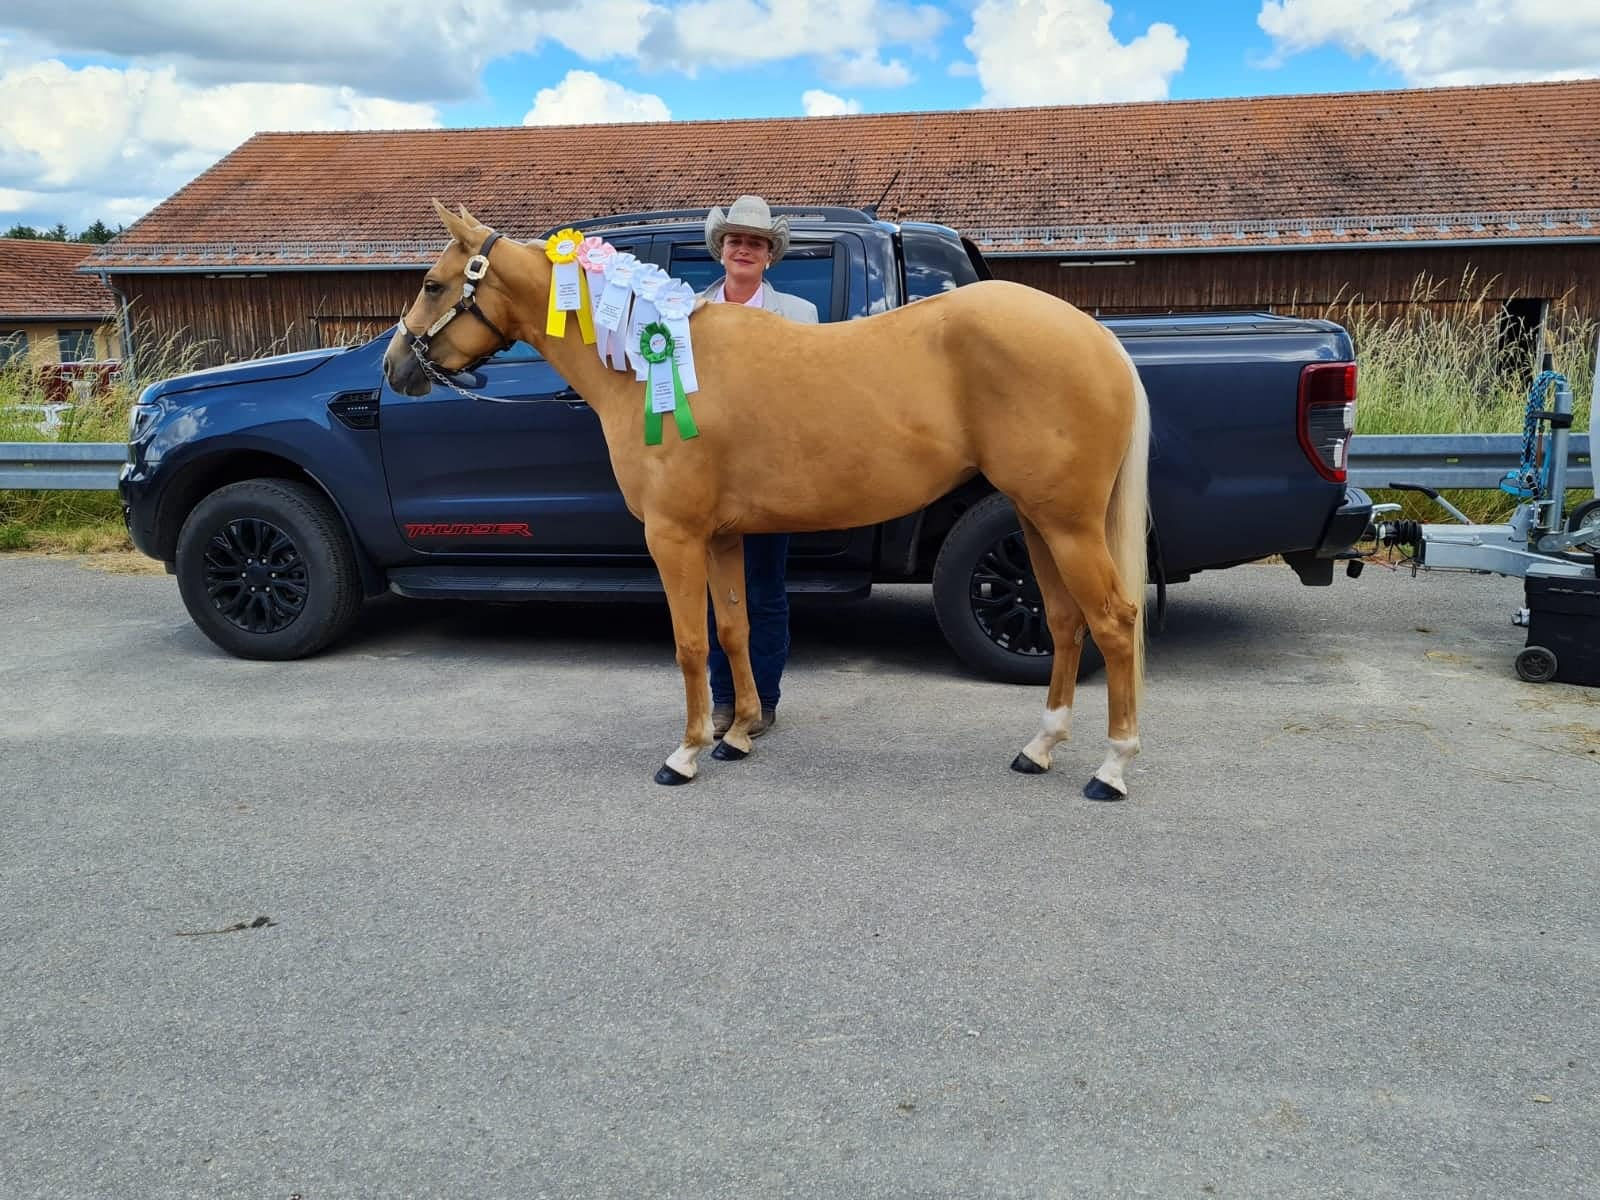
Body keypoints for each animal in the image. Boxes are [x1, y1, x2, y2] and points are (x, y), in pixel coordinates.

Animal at [383, 202, 1151, 799]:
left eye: (433, 283)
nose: (393, 368)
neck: (655, 370)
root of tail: (1095, 336)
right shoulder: (723, 537)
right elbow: (734, 630)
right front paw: (740, 735)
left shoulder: (674, 536)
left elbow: (691, 643)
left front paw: (686, 753)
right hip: (1038, 521)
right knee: (1064, 623)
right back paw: (1039, 749)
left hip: (1068, 525)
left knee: (1114, 622)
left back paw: (1111, 770)